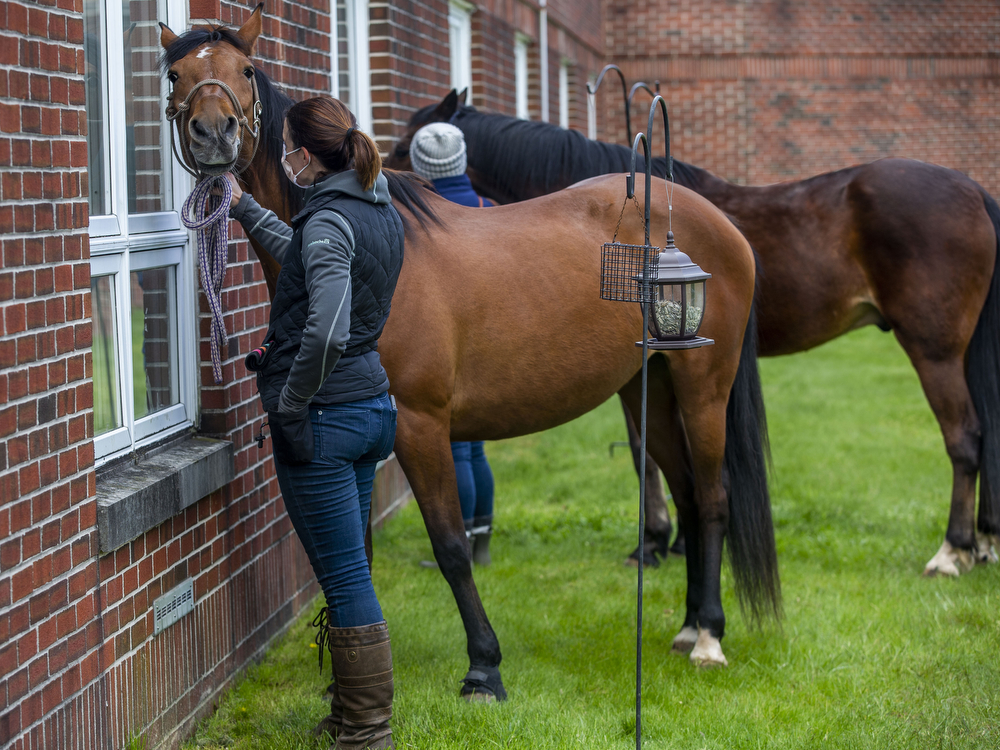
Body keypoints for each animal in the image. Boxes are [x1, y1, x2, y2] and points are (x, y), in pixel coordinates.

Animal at [159, 6, 780, 700]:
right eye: (176, 73)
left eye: (244, 70)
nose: (213, 133)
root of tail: (717, 222)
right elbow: (356, 550)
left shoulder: (420, 426)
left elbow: (452, 545)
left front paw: (484, 665)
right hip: (653, 388)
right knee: (690, 497)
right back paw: (688, 624)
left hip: (703, 387)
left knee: (715, 499)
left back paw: (709, 638)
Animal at [386, 90, 1000, 580]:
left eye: (404, 145)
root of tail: (973, 190)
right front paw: (676, 540)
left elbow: (646, 456)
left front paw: (657, 542)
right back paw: (984, 543)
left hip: (933, 349)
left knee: (965, 437)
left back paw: (952, 550)